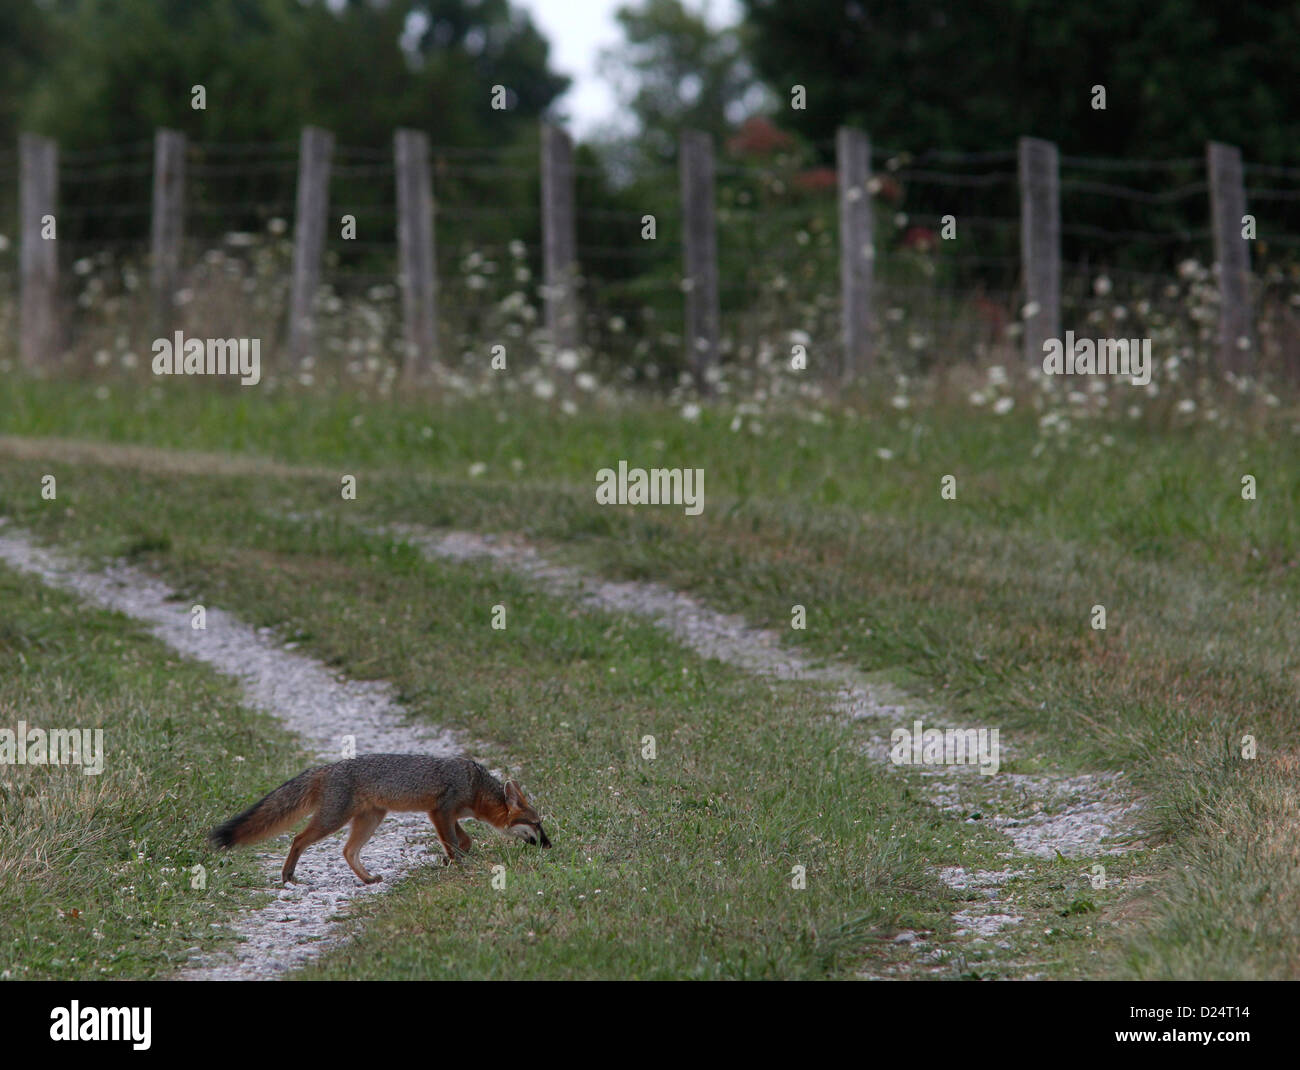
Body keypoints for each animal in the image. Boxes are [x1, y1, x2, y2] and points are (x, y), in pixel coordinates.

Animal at [207, 754, 550, 885]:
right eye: (537, 824)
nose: (548, 845)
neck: (475, 784)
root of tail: (328, 767)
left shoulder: (447, 814)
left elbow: (464, 840)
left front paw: (450, 860)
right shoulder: (440, 811)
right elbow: (454, 842)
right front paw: (458, 865)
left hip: (371, 819)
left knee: (348, 851)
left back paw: (368, 878)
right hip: (333, 820)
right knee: (298, 839)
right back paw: (289, 875)